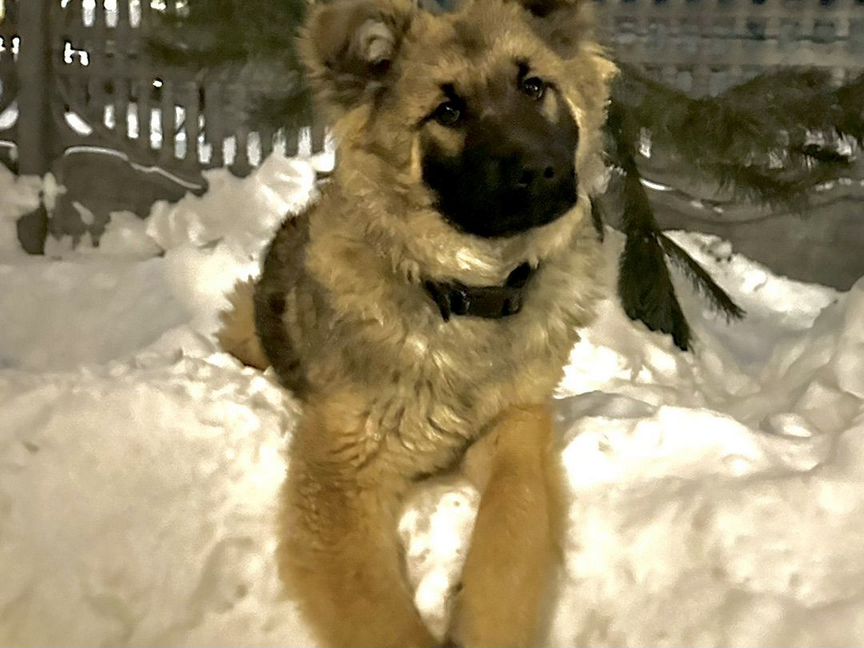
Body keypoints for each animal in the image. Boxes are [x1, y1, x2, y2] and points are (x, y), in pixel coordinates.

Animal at [221, 0, 616, 644]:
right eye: (447, 111)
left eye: (534, 86)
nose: (542, 171)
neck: (465, 297)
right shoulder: (338, 478)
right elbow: (383, 619)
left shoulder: (518, 420)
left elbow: (517, 518)